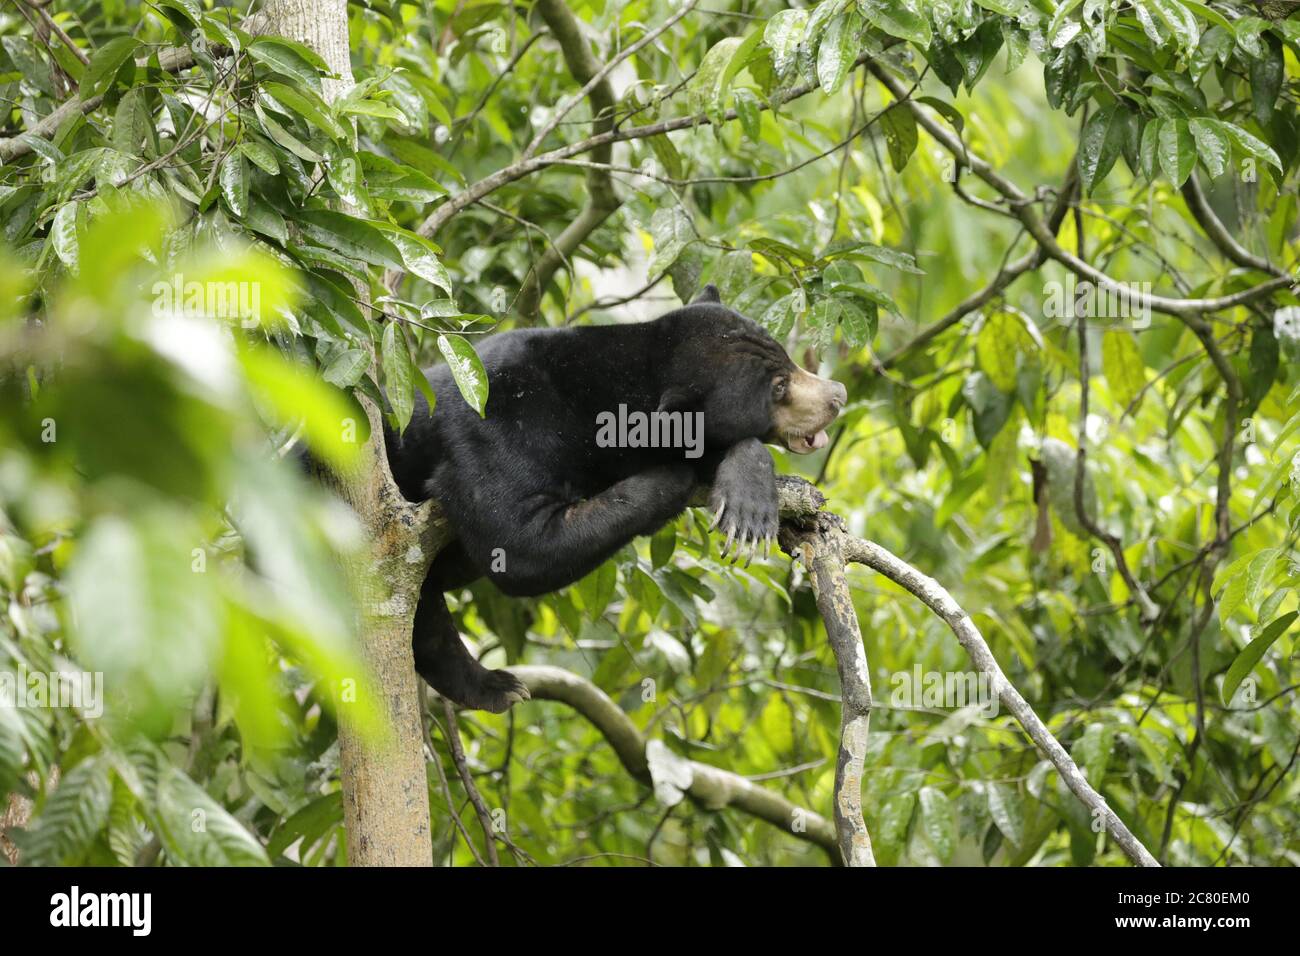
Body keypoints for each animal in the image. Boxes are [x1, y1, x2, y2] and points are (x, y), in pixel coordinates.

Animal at [385, 285, 847, 713]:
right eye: (778, 387)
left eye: (786, 358)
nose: (837, 394)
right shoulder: (493, 426)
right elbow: (519, 546)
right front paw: (682, 476)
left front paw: (749, 503)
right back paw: (498, 687)